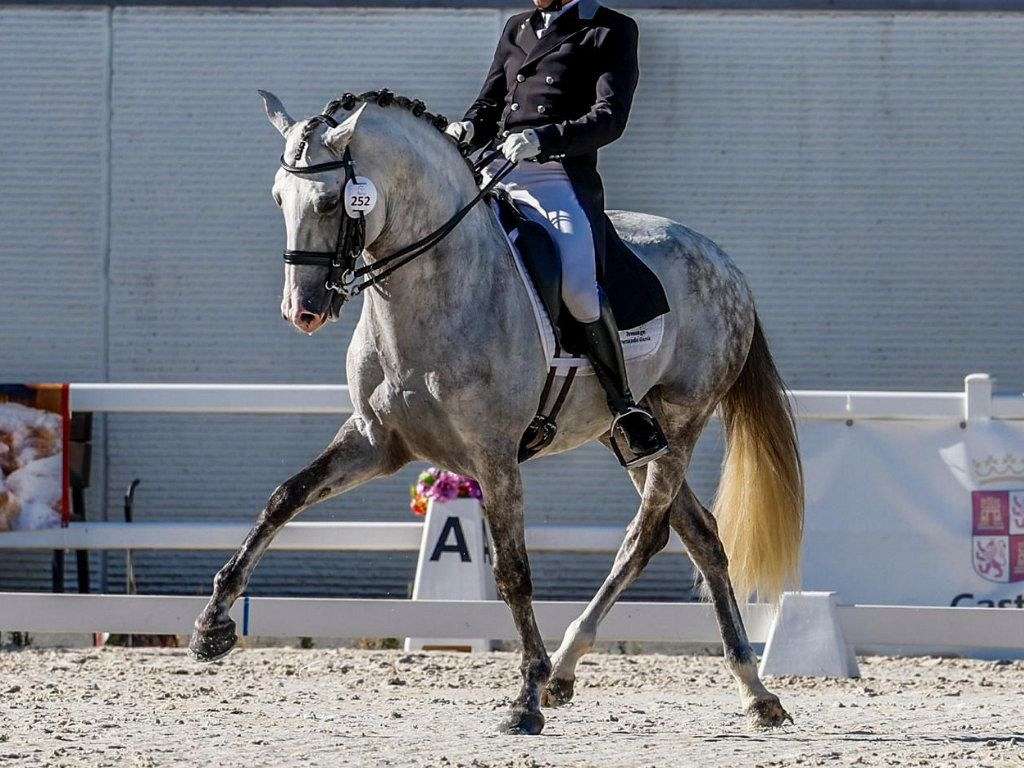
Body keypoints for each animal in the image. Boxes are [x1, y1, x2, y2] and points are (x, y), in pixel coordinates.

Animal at [188, 88, 804, 736]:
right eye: (279, 197)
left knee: (643, 535)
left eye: (332, 200)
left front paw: (525, 697)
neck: (435, 293)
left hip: (680, 424)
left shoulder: (494, 455)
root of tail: (724, 263)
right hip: (631, 438)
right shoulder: (375, 441)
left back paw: (569, 670)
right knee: (698, 535)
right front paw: (212, 627)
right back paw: (748, 691)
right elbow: (284, 498)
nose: (302, 310)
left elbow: (513, 569)